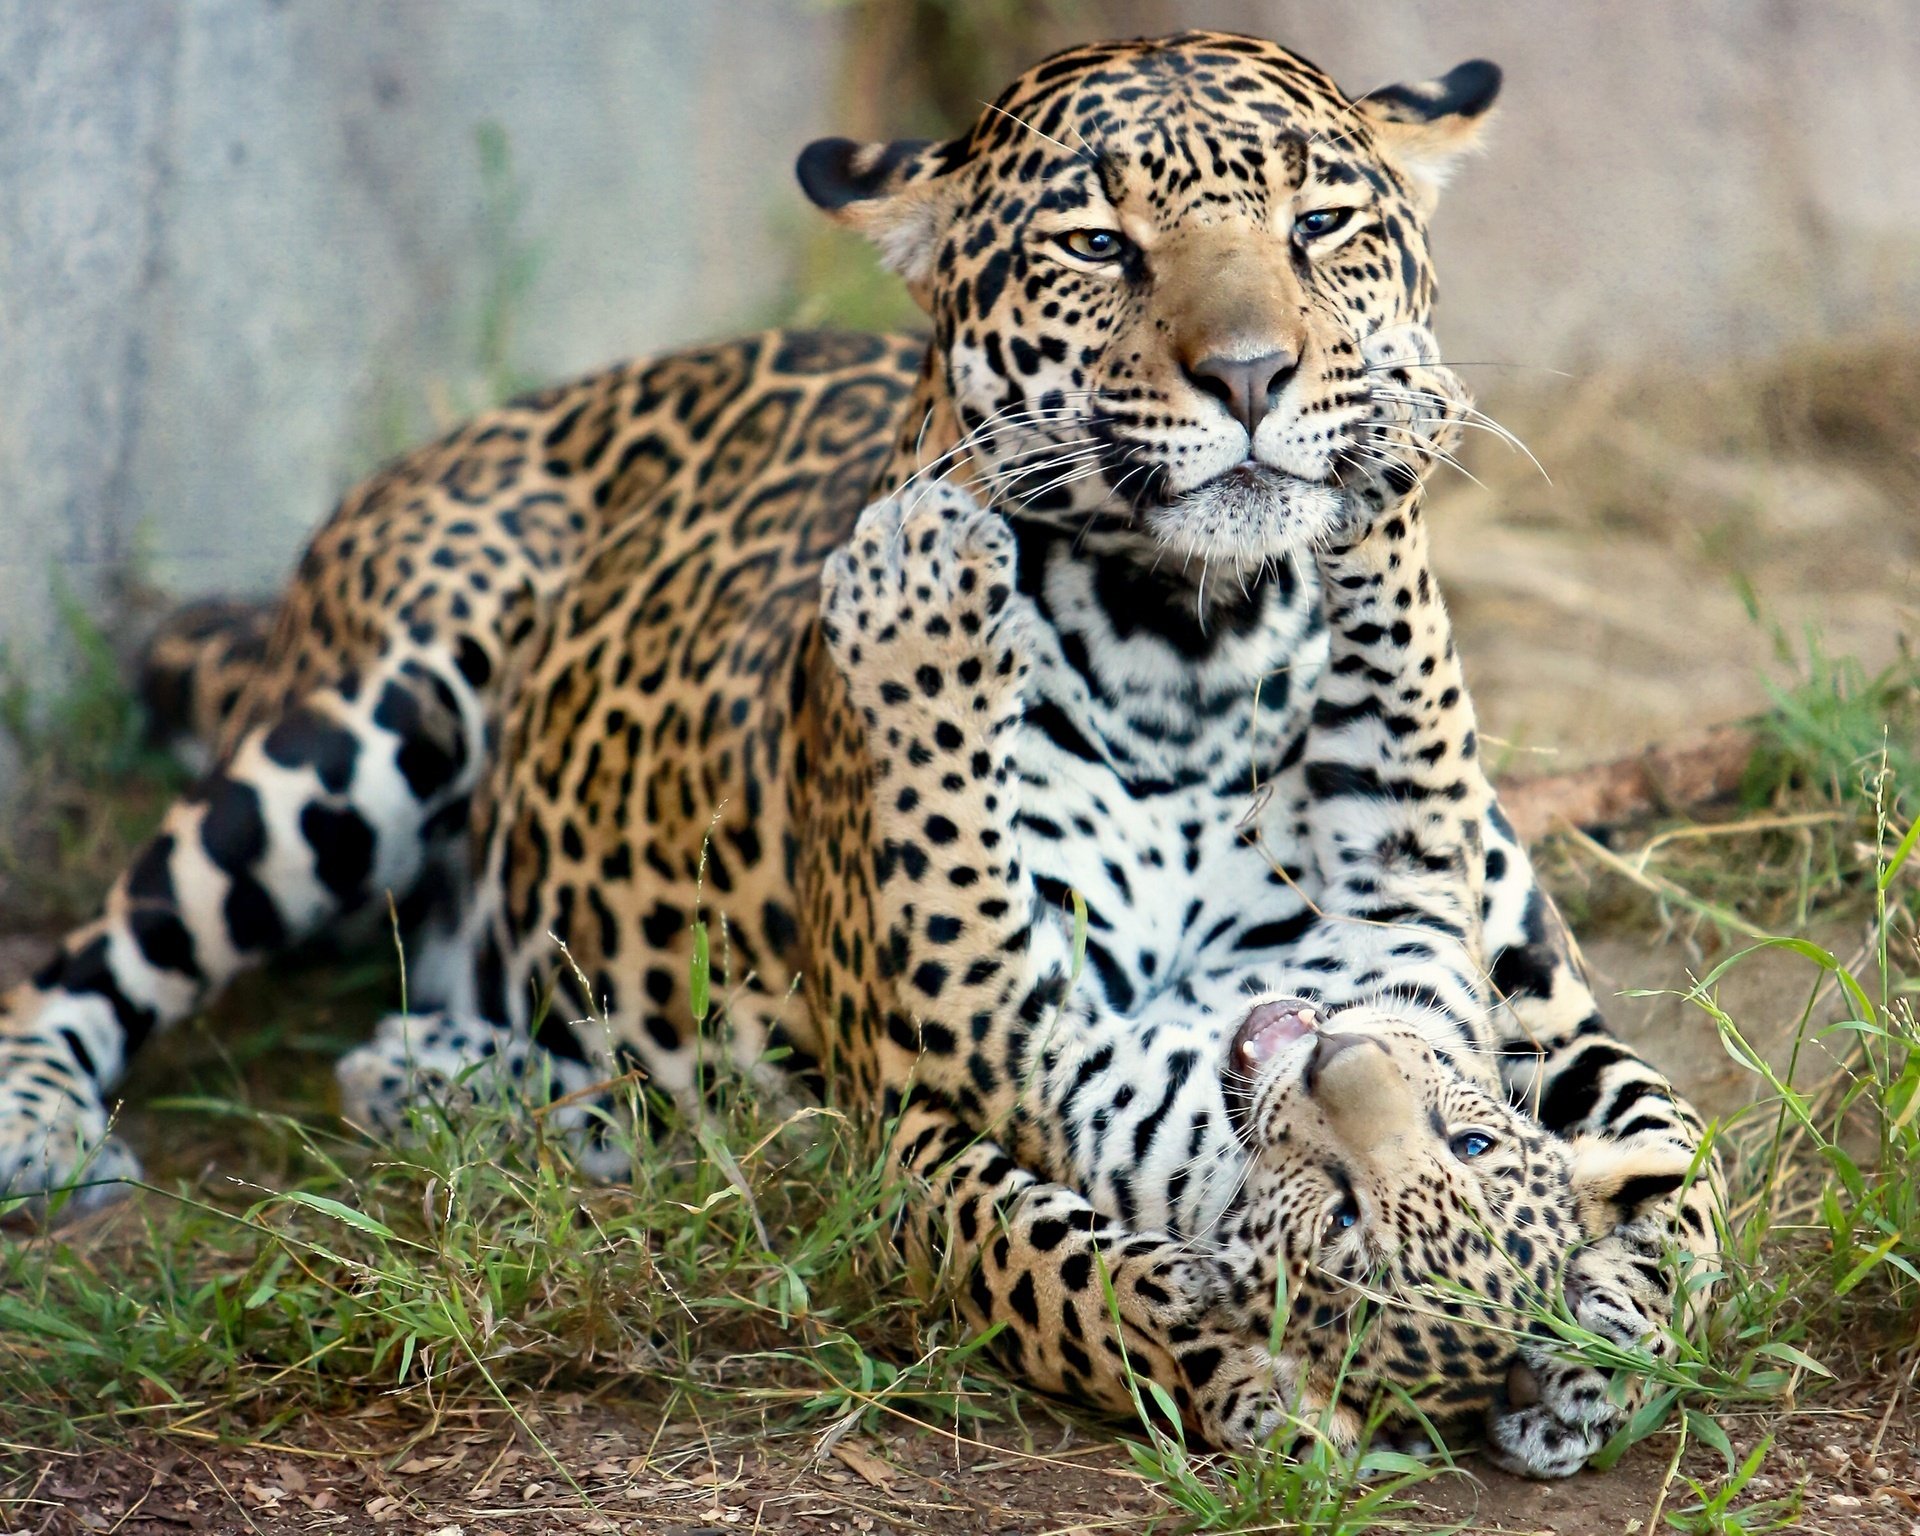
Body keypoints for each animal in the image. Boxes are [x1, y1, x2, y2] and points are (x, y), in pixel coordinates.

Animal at [0, 31, 1720, 1477]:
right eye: (1097, 246)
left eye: (1323, 227)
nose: (1251, 378)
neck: (1198, 654)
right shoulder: (927, 1107)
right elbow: (1083, 1274)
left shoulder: (1509, 990)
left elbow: (1677, 1151)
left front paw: (1605, 1339)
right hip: (373, 715)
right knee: (106, 943)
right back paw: (45, 1119)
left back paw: (476, 1085)